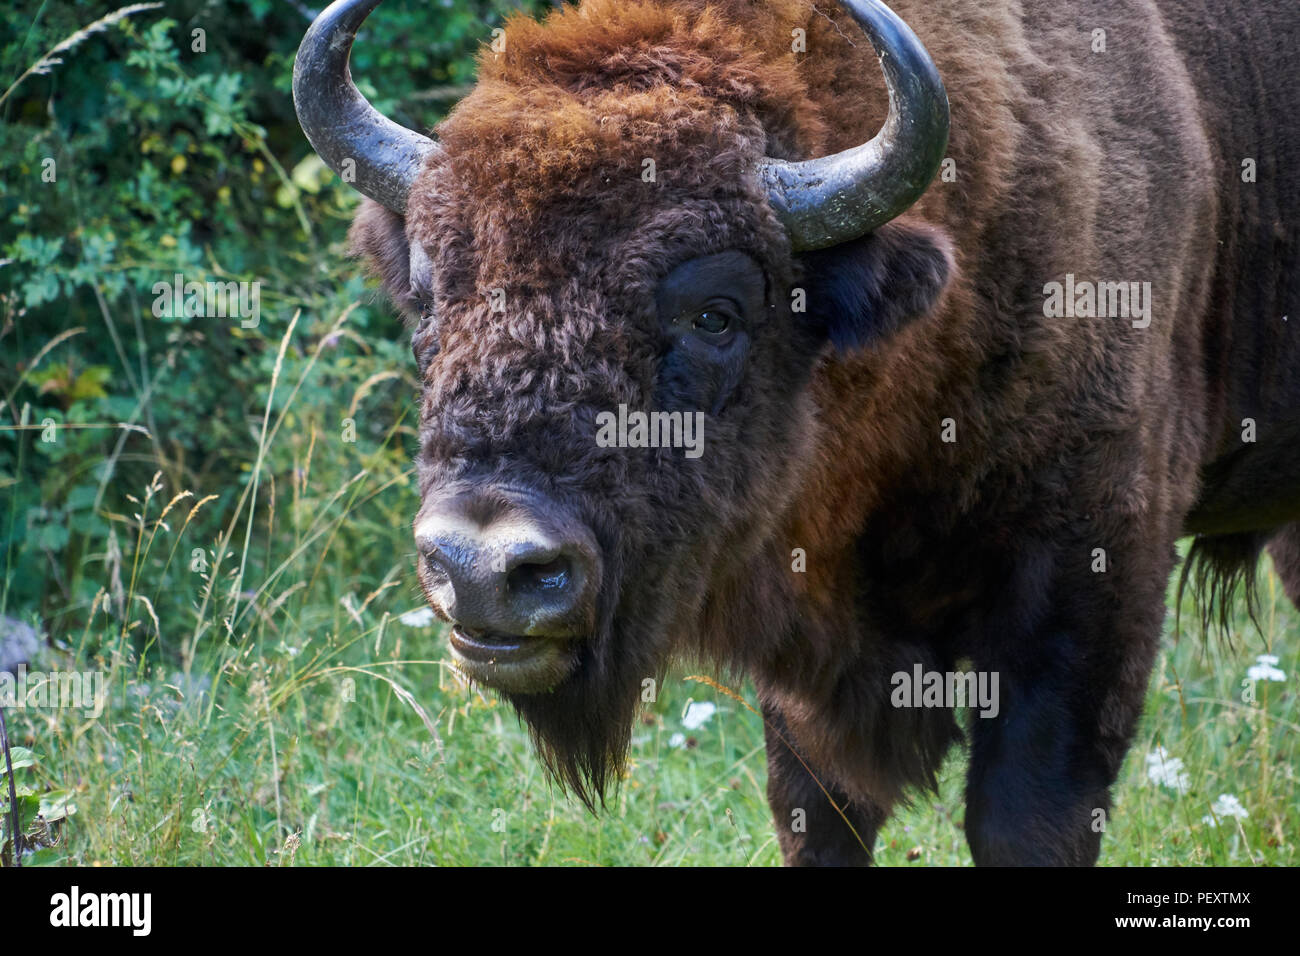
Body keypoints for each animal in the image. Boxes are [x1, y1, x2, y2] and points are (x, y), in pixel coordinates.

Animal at [293, 0, 1300, 864]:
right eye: (432, 297)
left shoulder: (1095, 567)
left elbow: (1027, 817)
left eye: (718, 313)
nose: (482, 569)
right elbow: (817, 809)